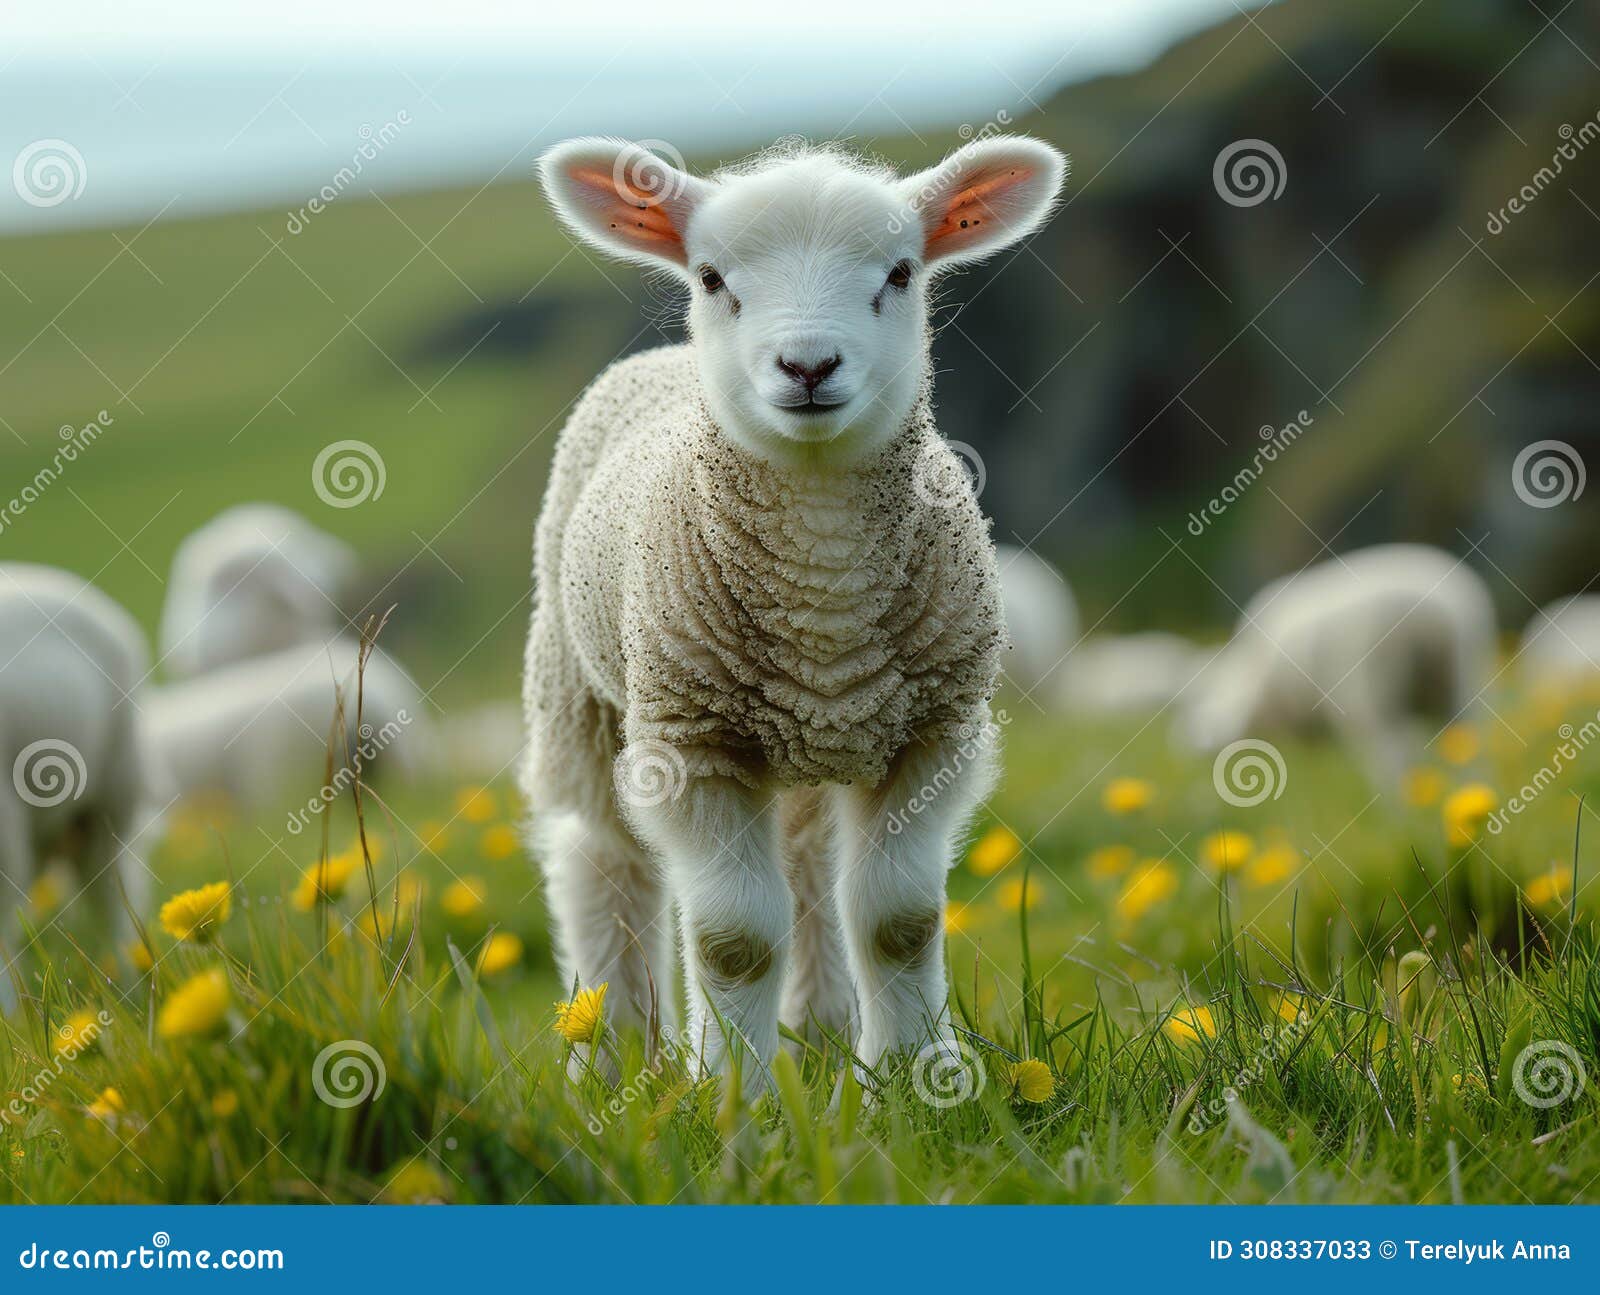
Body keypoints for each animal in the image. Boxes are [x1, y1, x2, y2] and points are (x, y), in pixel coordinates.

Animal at [521, 135, 1066, 1088]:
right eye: (710, 277)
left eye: (900, 271)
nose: (807, 367)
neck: (823, 591)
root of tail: (662, 359)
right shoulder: (692, 743)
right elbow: (732, 940)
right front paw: (733, 1093)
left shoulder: (933, 735)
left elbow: (897, 921)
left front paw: (916, 1077)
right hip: (577, 692)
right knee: (602, 860)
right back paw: (612, 1055)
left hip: (813, 748)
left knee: (809, 864)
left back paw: (820, 1024)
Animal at [1177, 544, 1495, 788]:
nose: (1191, 749)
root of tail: (1431, 616)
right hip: (1460, 682)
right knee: (1468, 747)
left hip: (1370, 691)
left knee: (1393, 758)